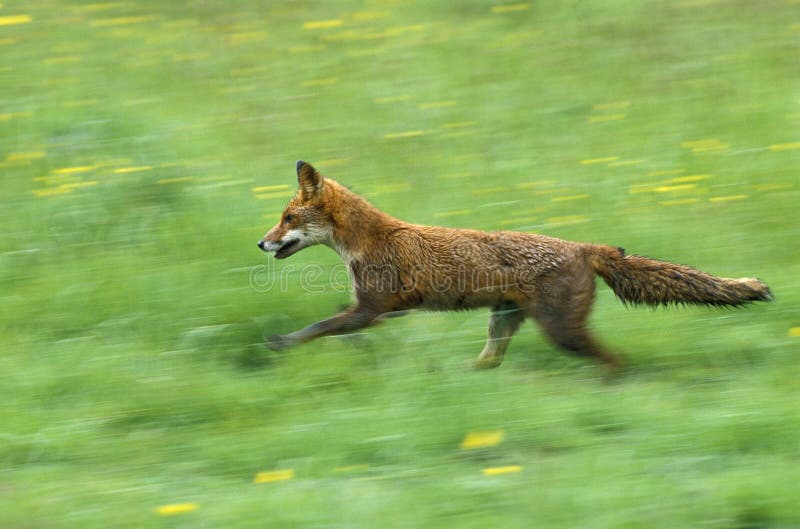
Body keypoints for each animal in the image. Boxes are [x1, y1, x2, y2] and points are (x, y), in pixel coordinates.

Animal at [257, 160, 772, 370]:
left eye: (287, 219)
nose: (261, 243)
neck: (367, 241)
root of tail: (583, 246)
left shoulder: (375, 307)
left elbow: (319, 328)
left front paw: (282, 343)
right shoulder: (378, 310)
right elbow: (334, 328)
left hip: (561, 332)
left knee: (615, 362)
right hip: (504, 322)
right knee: (487, 363)